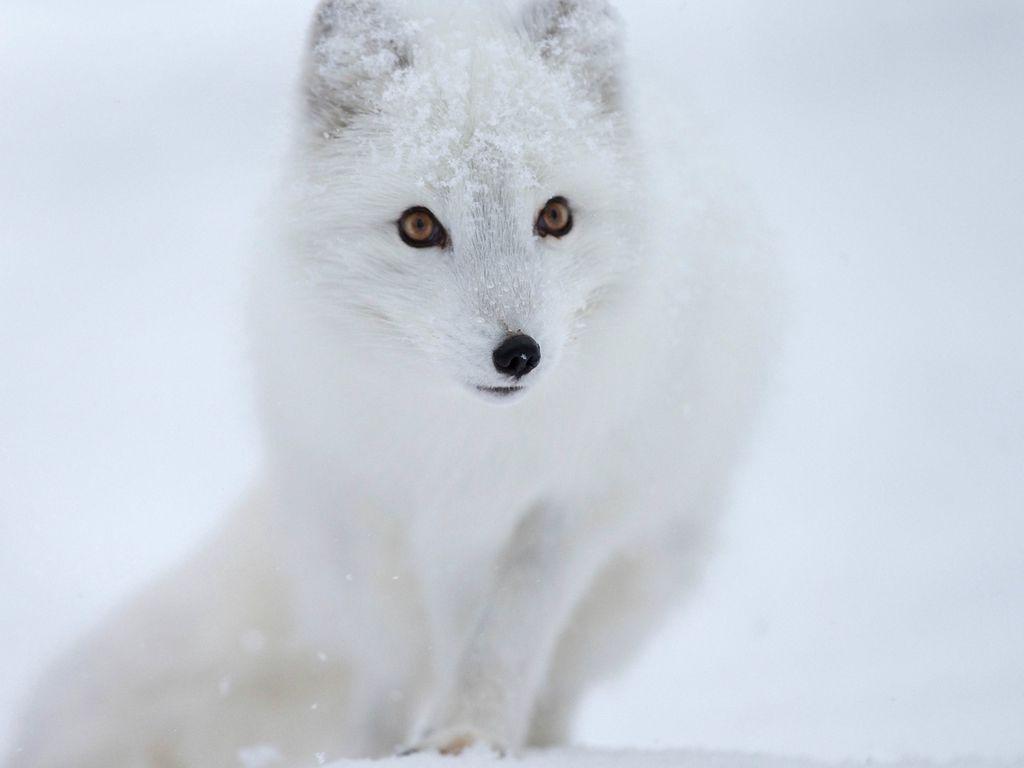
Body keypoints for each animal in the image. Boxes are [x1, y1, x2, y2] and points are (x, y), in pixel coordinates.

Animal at [8, 0, 779, 765]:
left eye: (555, 216)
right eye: (417, 226)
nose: (519, 355)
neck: (469, 445)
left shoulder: (572, 506)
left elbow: (507, 634)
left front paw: (471, 734)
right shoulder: (392, 515)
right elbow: (419, 657)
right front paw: (413, 744)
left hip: (645, 568)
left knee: (555, 682)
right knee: (391, 663)